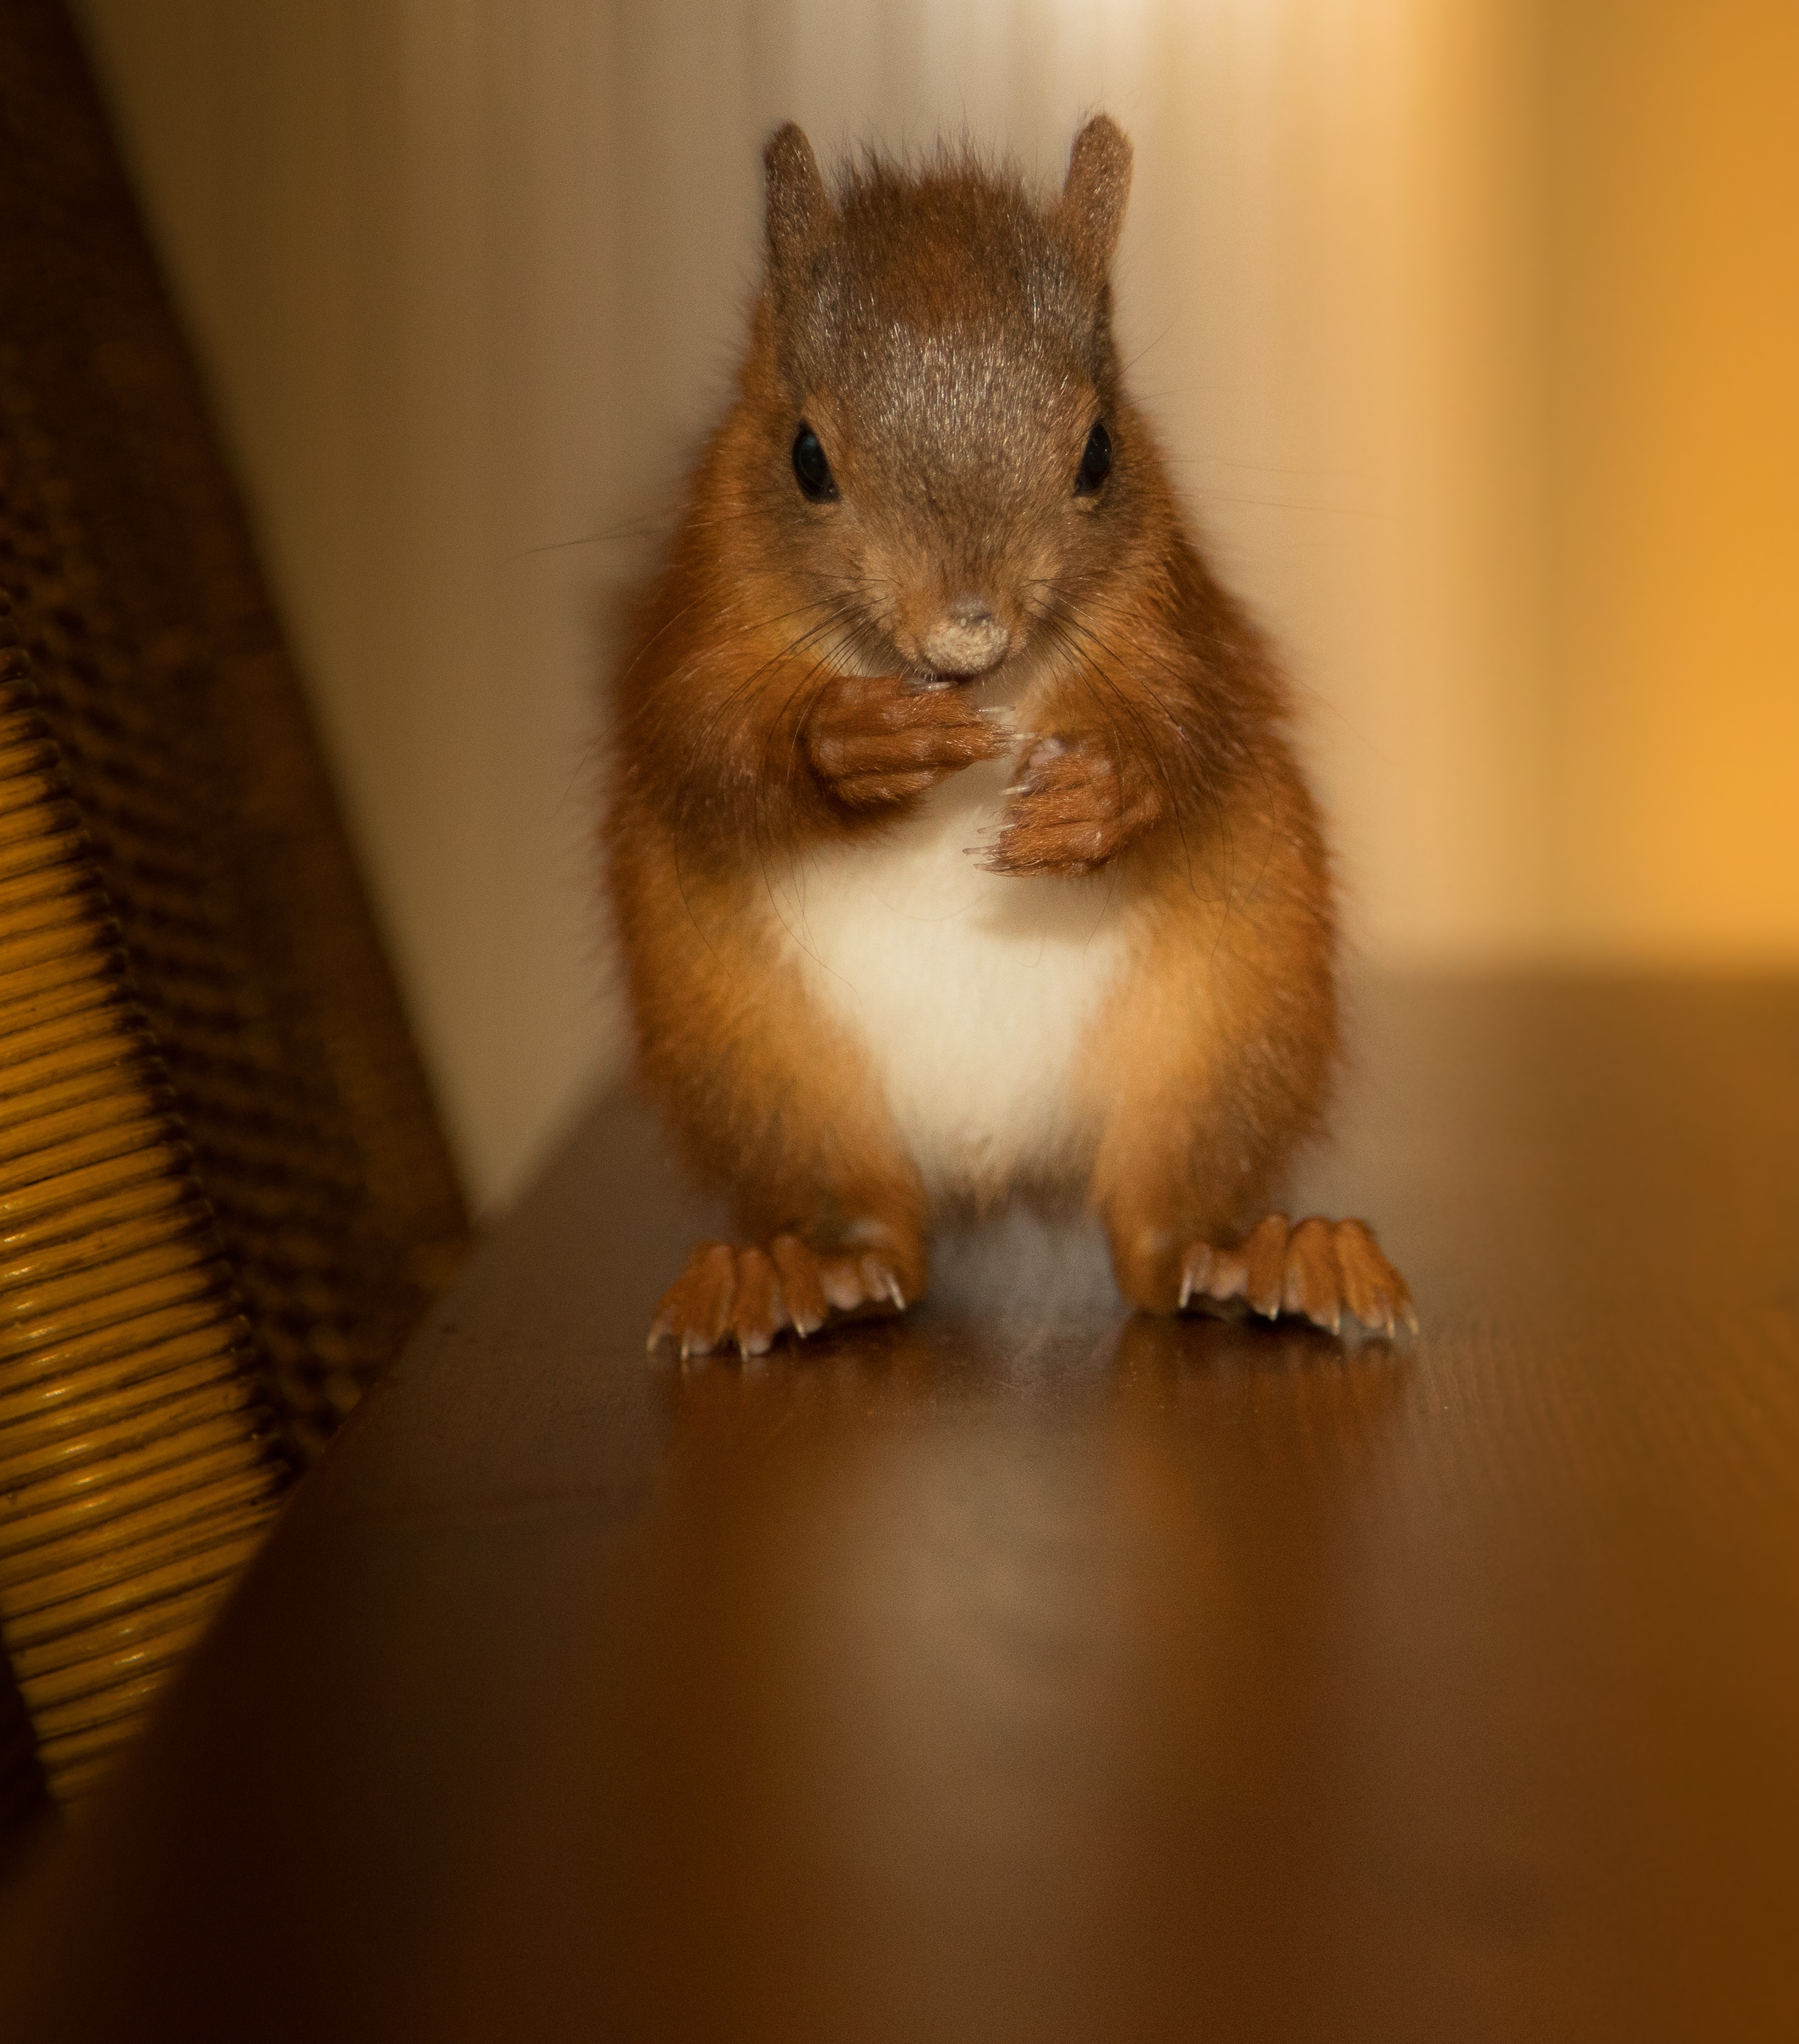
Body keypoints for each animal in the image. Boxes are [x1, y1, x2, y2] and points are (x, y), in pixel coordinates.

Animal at [605, 114, 1415, 1359]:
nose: (968, 629)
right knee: (867, 1225)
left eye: (1100, 453)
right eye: (804, 457)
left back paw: (1266, 1256)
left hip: (1230, 1015)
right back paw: (793, 1274)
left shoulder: (1177, 619)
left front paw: (1099, 799)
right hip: (756, 1061)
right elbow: (705, 737)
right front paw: (854, 739)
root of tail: (991, 1159)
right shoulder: (694, 618)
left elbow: (1195, 727)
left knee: (1165, 1228)